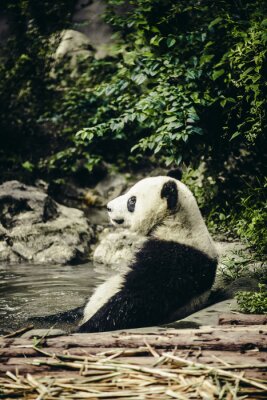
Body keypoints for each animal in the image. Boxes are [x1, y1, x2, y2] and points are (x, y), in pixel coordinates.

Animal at [78, 170, 219, 332]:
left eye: (132, 200)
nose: (108, 207)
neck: (174, 222)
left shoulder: (177, 258)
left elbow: (140, 298)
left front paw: (86, 327)